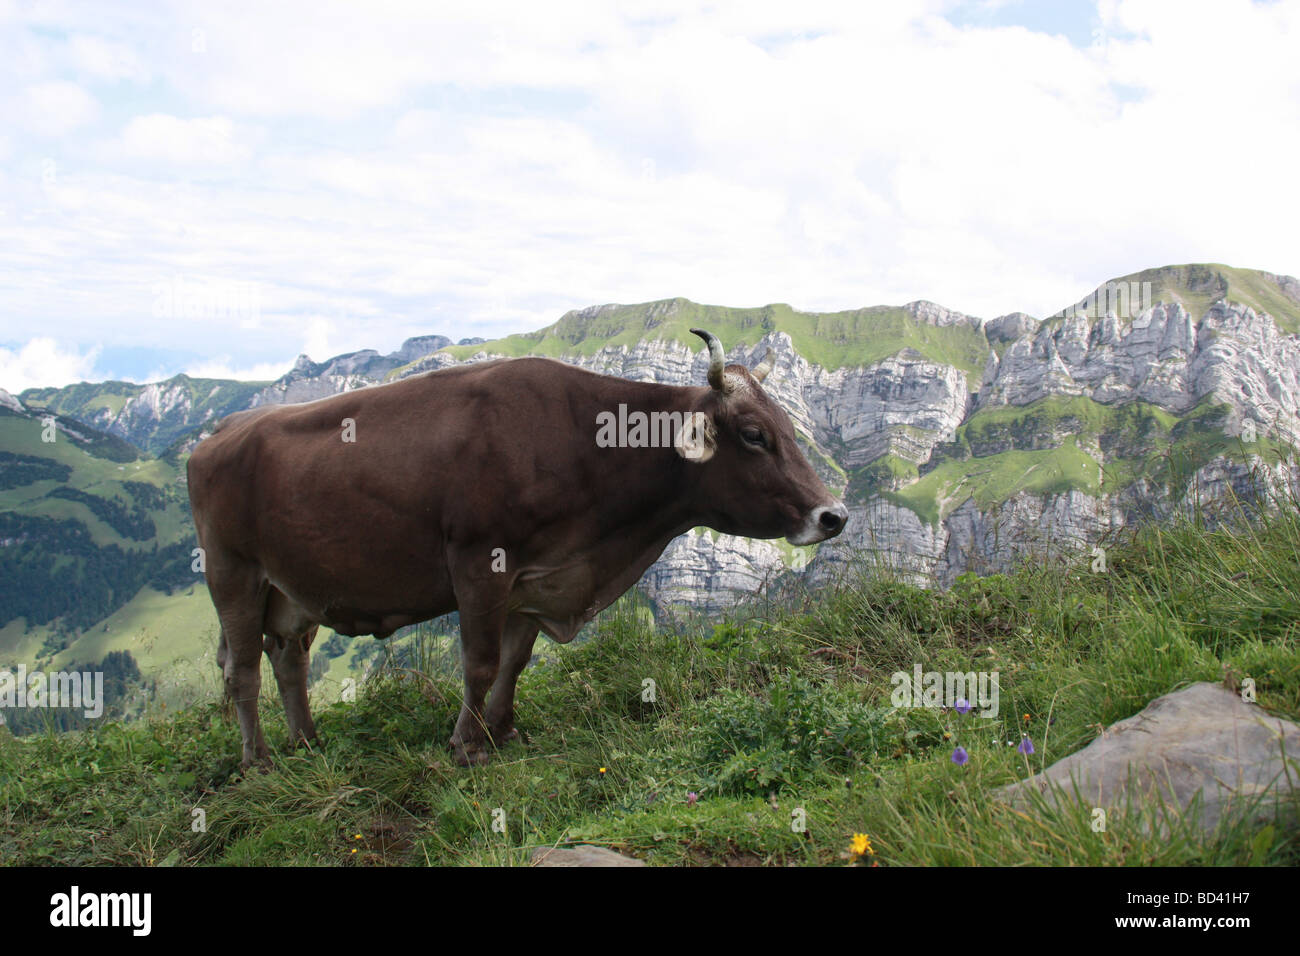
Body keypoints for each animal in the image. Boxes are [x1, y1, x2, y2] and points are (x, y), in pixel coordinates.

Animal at [187, 329, 848, 769]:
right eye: (755, 435)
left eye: (791, 429)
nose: (834, 515)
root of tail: (224, 430)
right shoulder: (481, 563)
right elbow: (479, 662)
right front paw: (466, 744)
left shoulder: (537, 577)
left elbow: (515, 660)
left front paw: (502, 732)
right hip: (232, 574)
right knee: (242, 670)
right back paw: (259, 760)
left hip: (291, 589)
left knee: (288, 659)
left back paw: (308, 744)